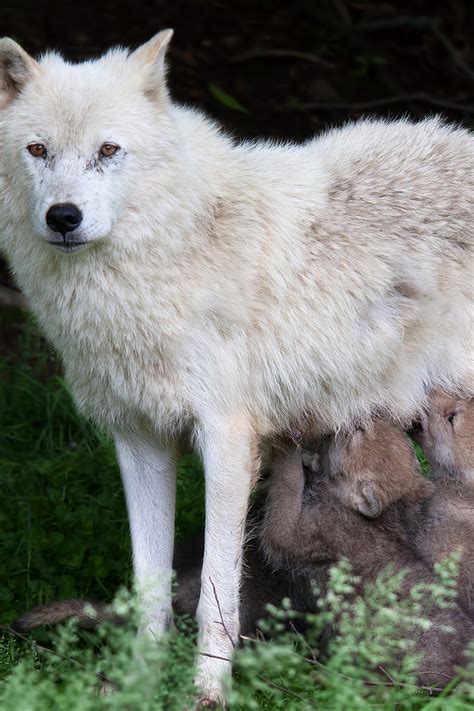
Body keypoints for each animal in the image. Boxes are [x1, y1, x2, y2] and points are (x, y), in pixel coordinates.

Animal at [0, 31, 472, 702]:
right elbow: (149, 589)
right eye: (38, 150)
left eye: (108, 150)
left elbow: (215, 596)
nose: (63, 216)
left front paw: (206, 693)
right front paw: (141, 684)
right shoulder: (139, 439)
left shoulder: (226, 441)